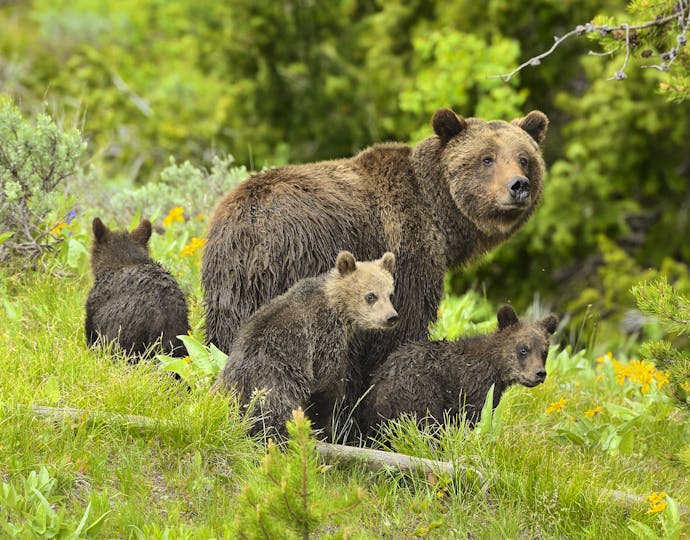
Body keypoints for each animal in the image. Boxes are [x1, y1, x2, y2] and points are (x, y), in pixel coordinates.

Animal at [213, 251, 398, 440]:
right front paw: (324, 426)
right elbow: (326, 386)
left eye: (390, 294)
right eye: (371, 296)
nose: (391, 317)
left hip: (226, 383)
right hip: (274, 381)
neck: (337, 308)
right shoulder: (322, 339)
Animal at [360, 305, 558, 434]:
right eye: (523, 349)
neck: (496, 368)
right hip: (419, 392)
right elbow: (473, 417)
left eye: (544, 352)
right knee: (427, 425)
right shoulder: (475, 388)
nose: (539, 373)